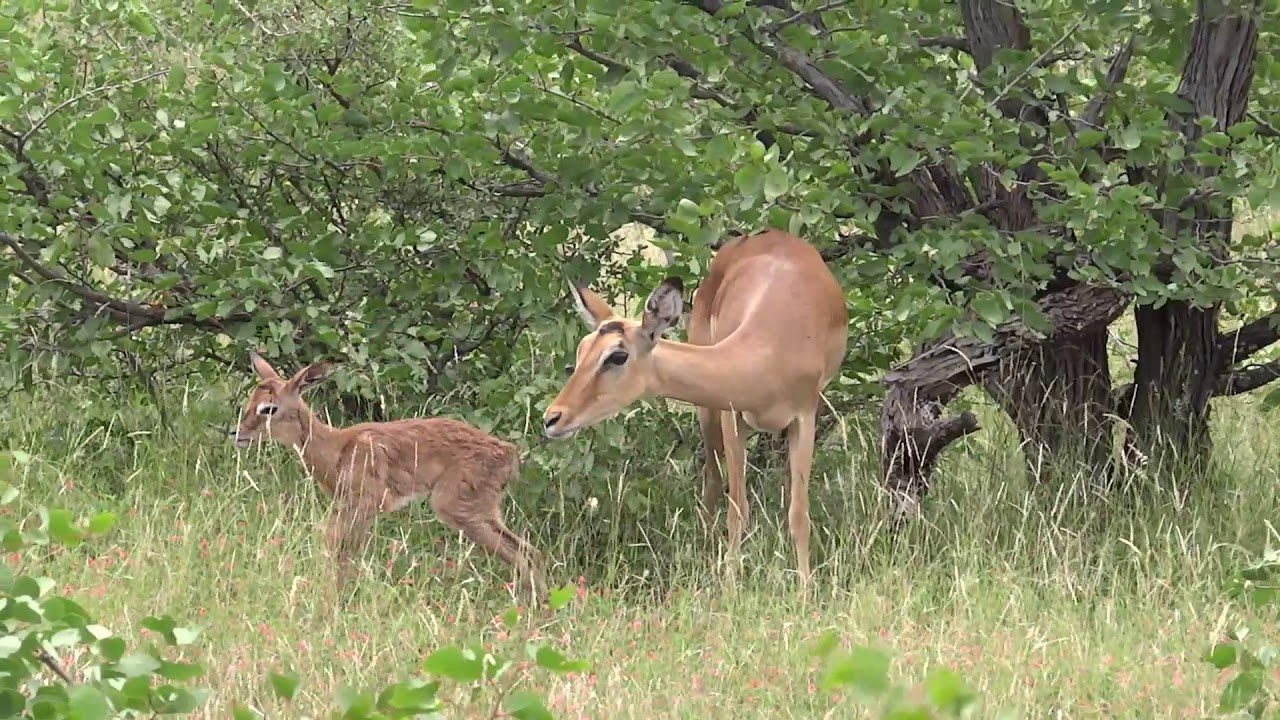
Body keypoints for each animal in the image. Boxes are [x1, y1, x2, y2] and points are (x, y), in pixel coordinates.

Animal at [233, 352, 546, 601]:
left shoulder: (365, 504)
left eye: (269, 408)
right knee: (529, 552)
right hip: (483, 510)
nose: (238, 433)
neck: (337, 450)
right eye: (251, 400)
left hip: (459, 507)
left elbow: (343, 552)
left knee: (525, 553)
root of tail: (511, 455)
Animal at [543, 229, 849, 586]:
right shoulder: (733, 415)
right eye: (582, 349)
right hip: (709, 412)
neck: (772, 348)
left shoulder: (805, 417)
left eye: (617, 355)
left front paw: (805, 588)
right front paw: (730, 585)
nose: (552, 418)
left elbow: (798, 515)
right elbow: (737, 509)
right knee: (712, 481)